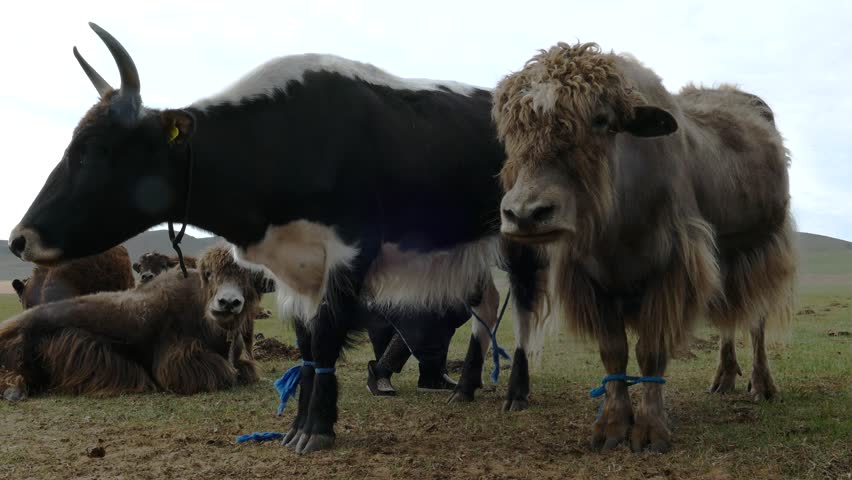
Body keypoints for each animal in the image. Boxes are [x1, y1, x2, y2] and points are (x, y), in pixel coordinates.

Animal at [0, 244, 262, 400]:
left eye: (248, 278)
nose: (228, 303)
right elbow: (225, 373)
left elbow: (245, 369)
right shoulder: (181, 360)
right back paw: (14, 391)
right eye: (209, 274)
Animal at [492, 42, 796, 453]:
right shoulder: (592, 281)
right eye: (511, 127)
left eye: (601, 120)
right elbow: (613, 351)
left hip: (762, 252)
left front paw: (651, 431)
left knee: (755, 320)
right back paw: (723, 379)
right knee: (727, 321)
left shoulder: (670, 272)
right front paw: (611, 426)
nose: (525, 214)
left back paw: (761, 385)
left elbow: (651, 350)